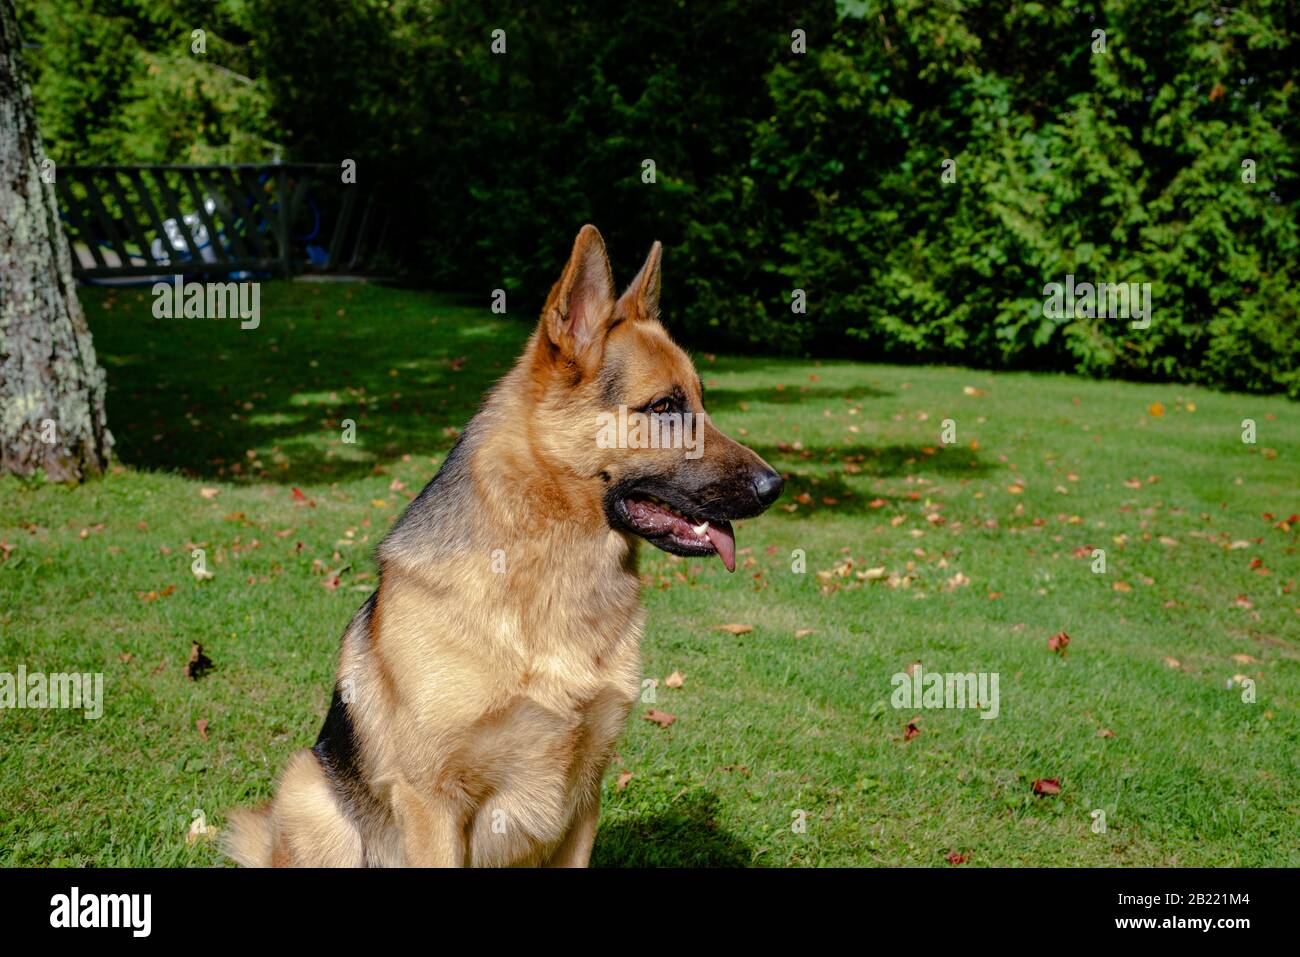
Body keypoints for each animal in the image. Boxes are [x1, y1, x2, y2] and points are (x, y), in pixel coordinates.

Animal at [223, 226, 780, 868]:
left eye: (700, 403)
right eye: (664, 408)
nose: (776, 486)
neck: (549, 575)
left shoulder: (583, 797)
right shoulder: (433, 803)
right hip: (309, 791)